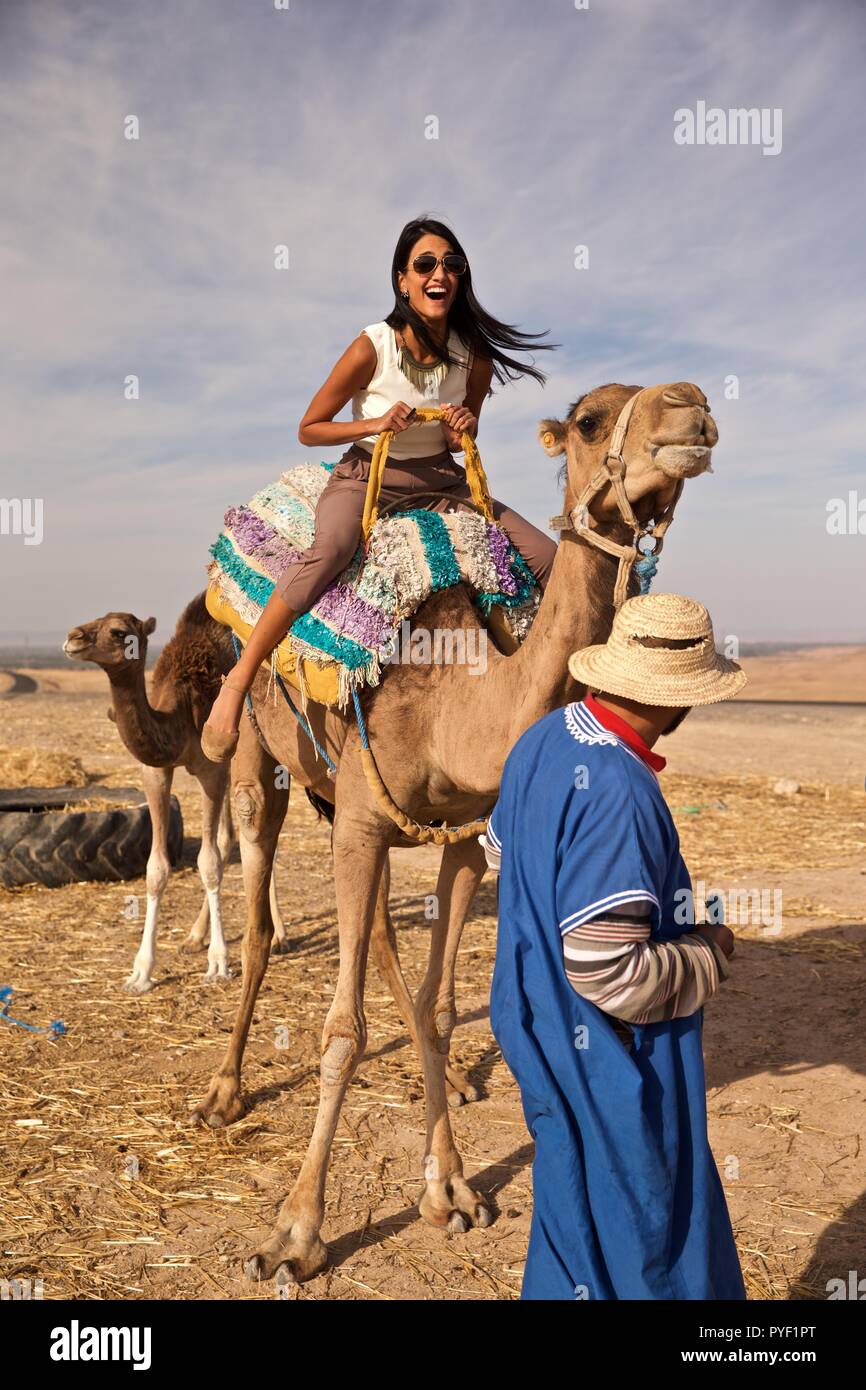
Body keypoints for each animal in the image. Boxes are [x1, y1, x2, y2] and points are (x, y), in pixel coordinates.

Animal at [63, 592, 288, 991]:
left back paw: (278, 936)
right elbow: (157, 868)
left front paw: (219, 963)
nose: (73, 638)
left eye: (118, 631)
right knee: (238, 835)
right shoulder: (156, 771)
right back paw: (195, 936)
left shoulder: (211, 770)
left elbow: (209, 862)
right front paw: (141, 971)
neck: (179, 711)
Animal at [190, 381, 718, 1284]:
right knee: (260, 921)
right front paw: (294, 1235)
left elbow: (438, 1007)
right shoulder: (361, 822)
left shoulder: (465, 838)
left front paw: (451, 1189)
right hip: (266, 761)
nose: (693, 405)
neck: (455, 701)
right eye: (588, 420)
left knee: (379, 937)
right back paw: (225, 1088)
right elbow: (341, 1032)